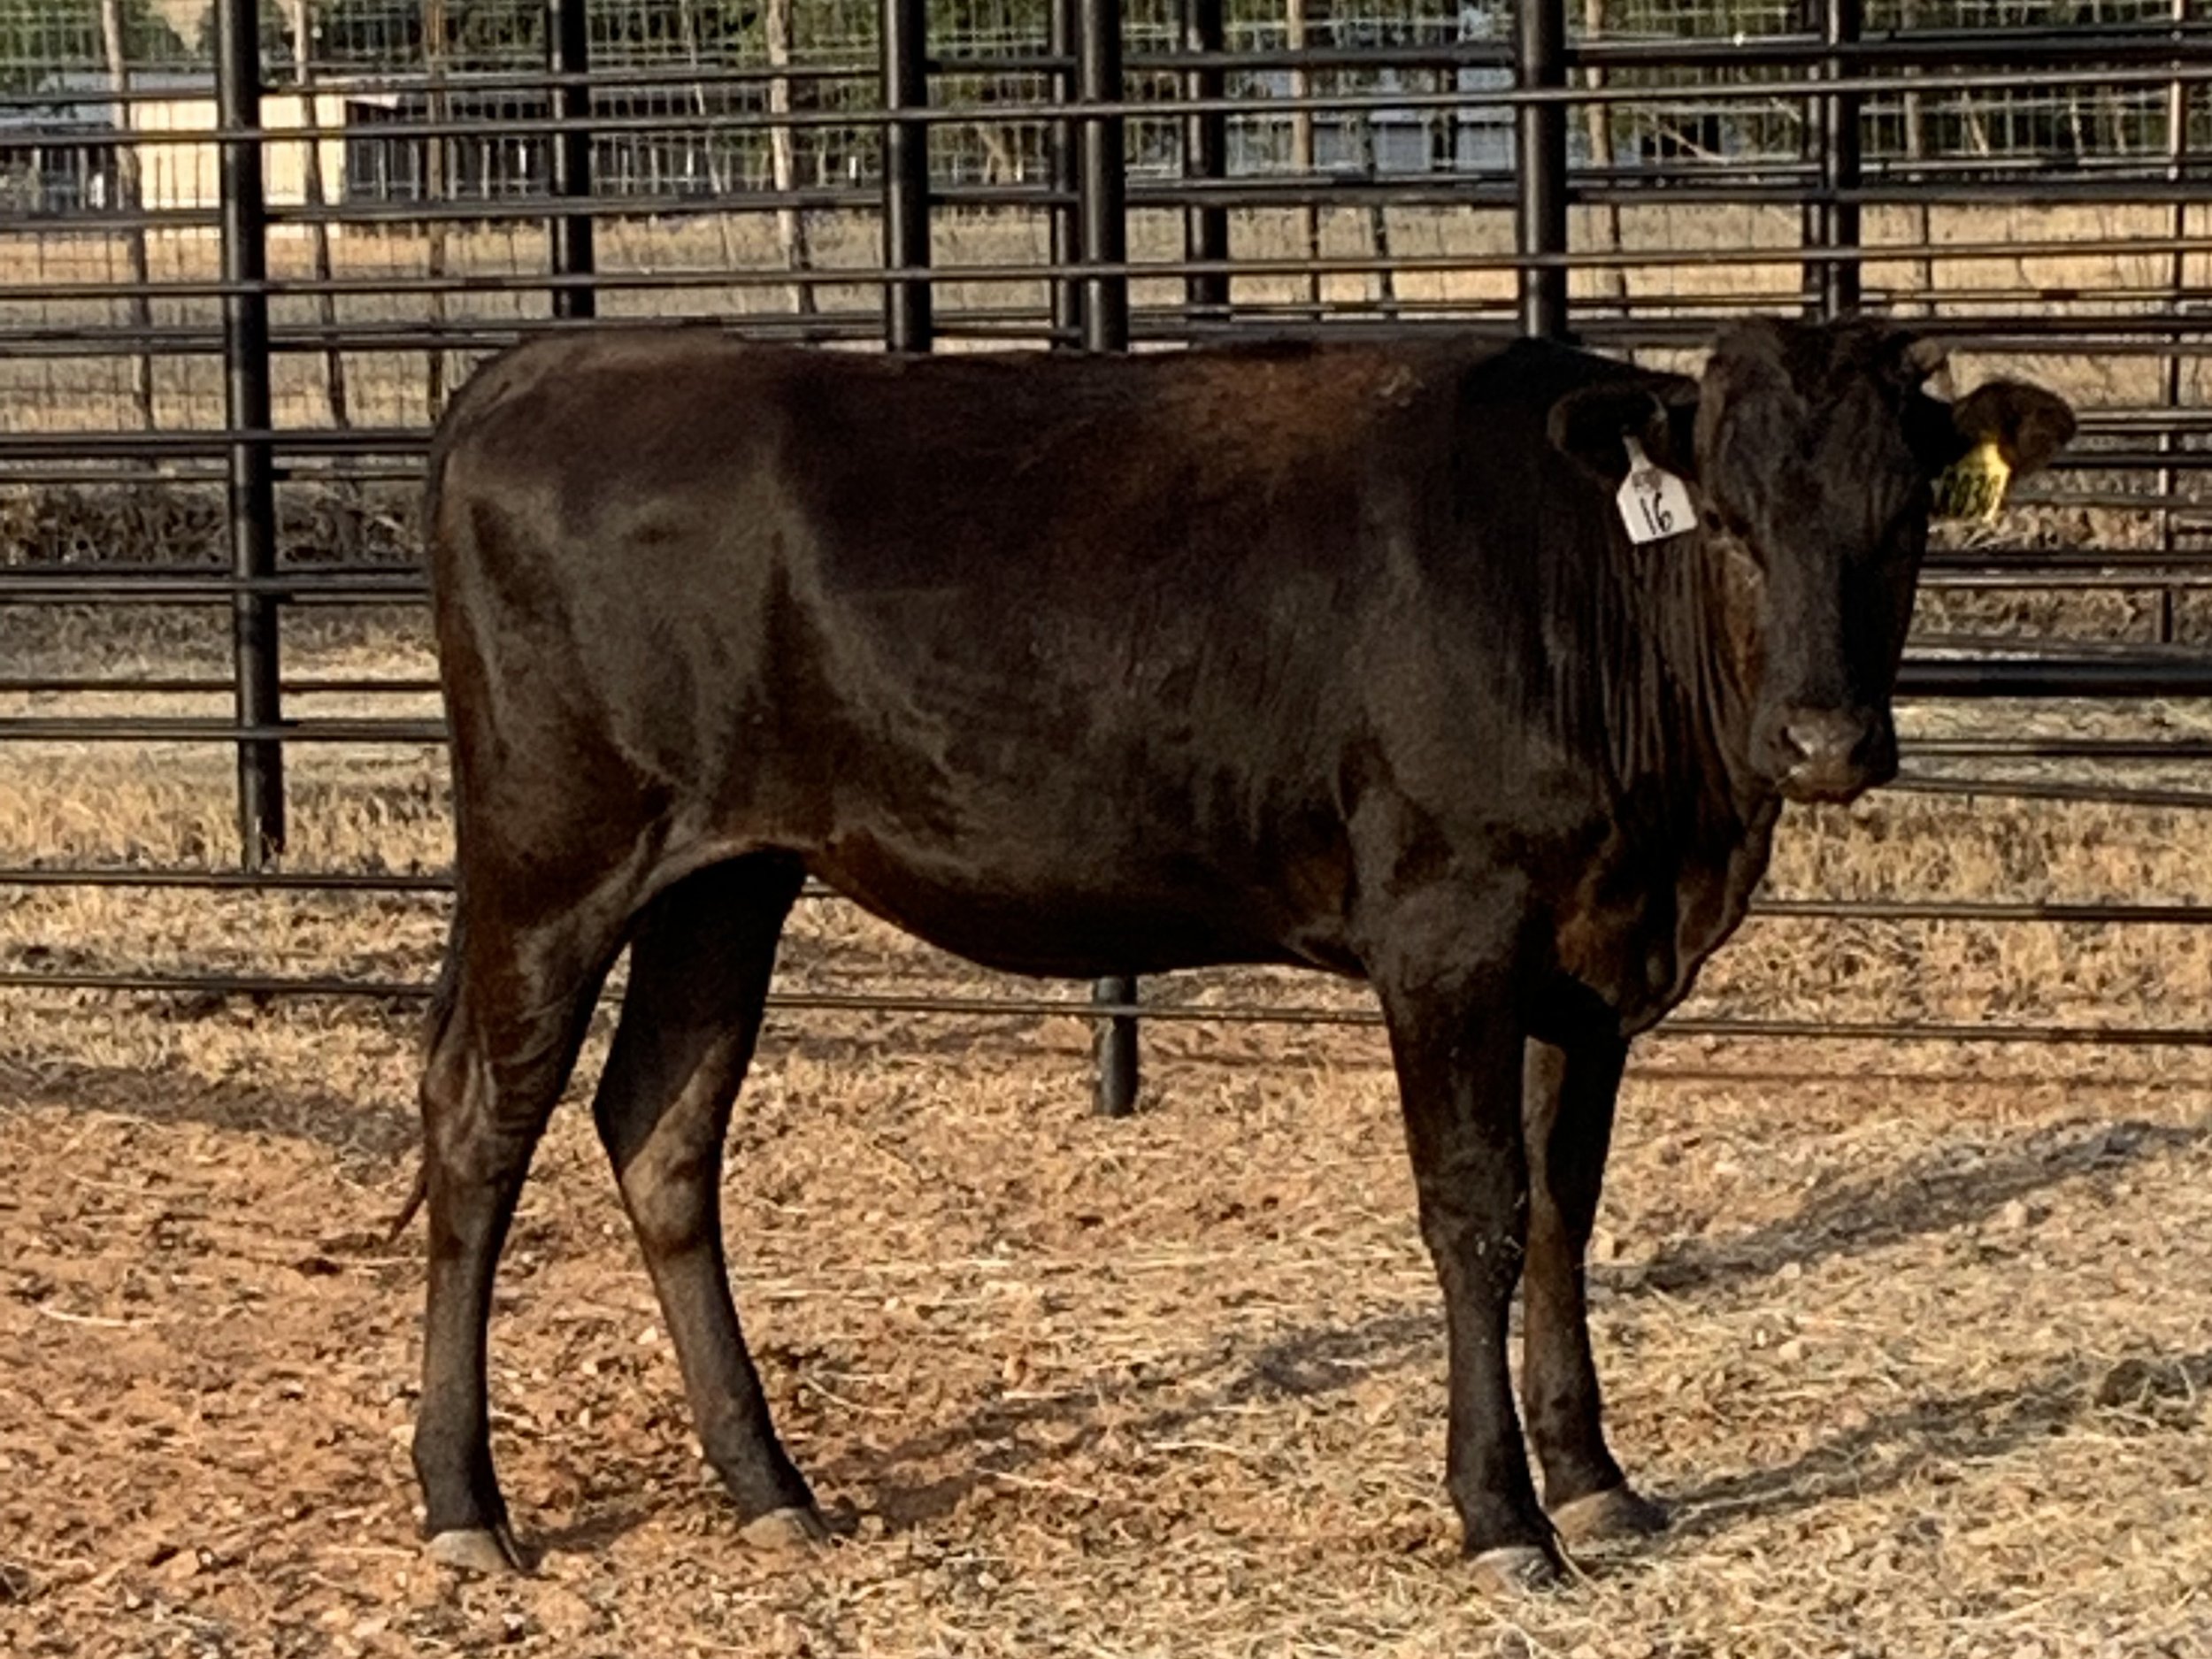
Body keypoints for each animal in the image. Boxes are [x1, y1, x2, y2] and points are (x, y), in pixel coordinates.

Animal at [403, 317, 2074, 1590]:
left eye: (1905, 521)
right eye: (1727, 523)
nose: (1825, 740)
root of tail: (546, 366)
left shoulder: (1590, 969)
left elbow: (1563, 1214)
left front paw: (1596, 1473)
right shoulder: (1449, 936)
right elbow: (1476, 1214)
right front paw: (1502, 1511)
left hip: (726, 878)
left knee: (663, 1128)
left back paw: (770, 1485)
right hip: (556, 855)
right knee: (484, 1124)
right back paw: (465, 1503)